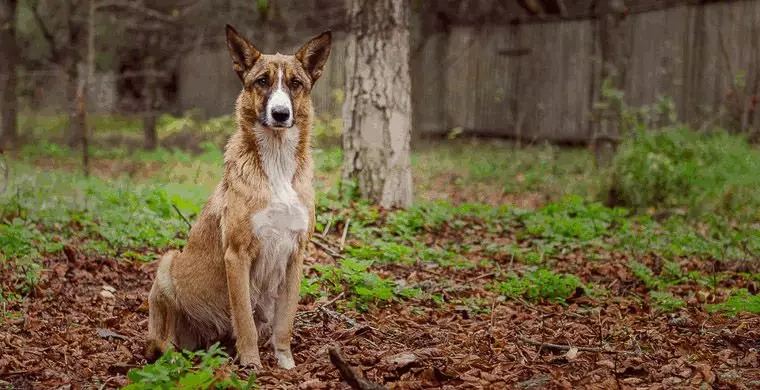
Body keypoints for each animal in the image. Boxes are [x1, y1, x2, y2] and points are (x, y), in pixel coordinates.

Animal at [145, 25, 330, 372]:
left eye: (295, 84)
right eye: (262, 81)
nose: (281, 114)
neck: (276, 162)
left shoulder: (295, 255)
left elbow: (285, 321)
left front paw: (285, 362)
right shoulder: (237, 255)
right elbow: (244, 319)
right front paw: (252, 364)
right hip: (167, 265)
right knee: (163, 342)